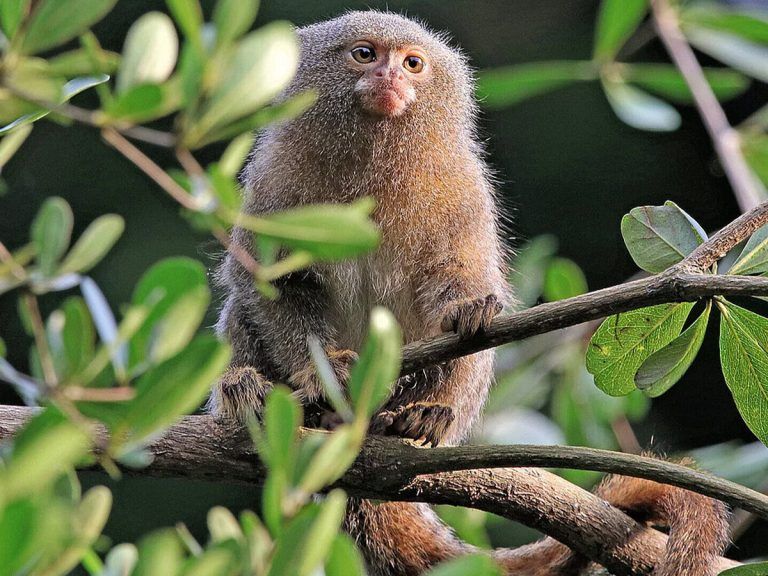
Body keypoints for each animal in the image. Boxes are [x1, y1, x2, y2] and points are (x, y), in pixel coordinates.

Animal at [210, 10, 729, 575]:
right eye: (365, 55)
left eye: (413, 63)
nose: (391, 77)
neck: (372, 161)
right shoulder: (272, 186)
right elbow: (268, 283)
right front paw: (320, 370)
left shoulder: (461, 188)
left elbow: (462, 277)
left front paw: (466, 310)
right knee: (239, 315)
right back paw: (249, 388)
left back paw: (423, 415)